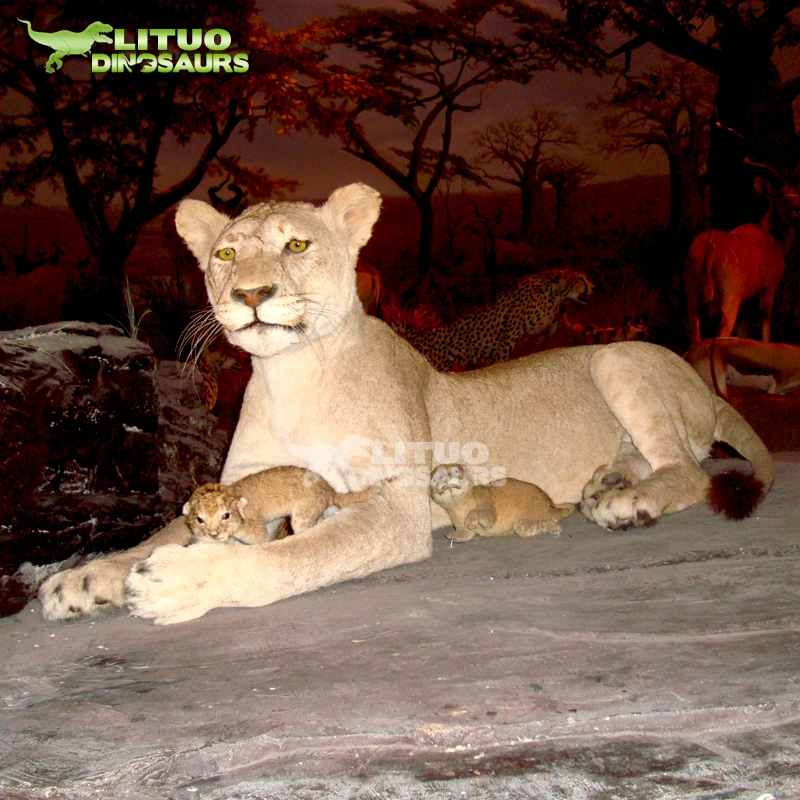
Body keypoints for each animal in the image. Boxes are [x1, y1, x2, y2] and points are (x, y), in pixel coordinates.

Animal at [430, 463, 574, 541]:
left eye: (456, 471)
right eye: (435, 479)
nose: (445, 480)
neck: (459, 506)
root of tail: (550, 505)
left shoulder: (487, 505)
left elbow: (482, 514)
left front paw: (471, 518)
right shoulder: (461, 525)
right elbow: (467, 534)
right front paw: (453, 535)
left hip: (524, 520)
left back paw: (554, 527)